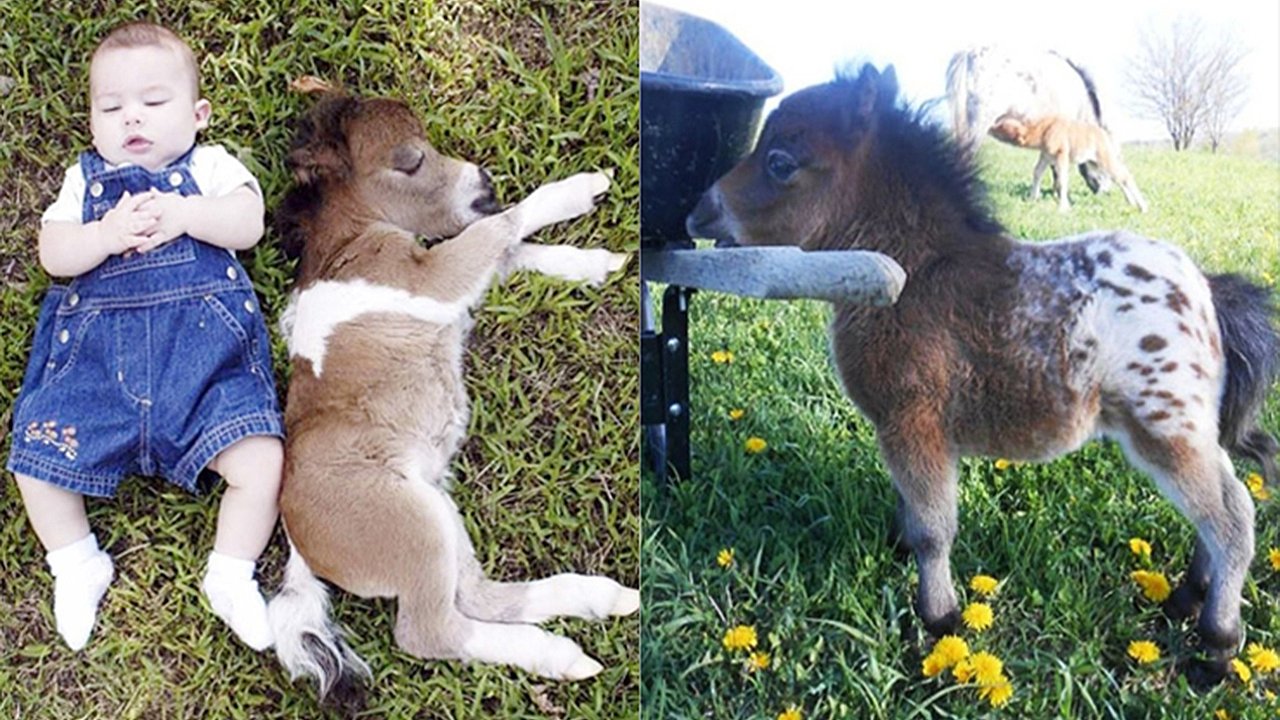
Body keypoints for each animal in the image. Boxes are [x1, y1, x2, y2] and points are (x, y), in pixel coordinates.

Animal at [686, 63, 1279, 685]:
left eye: (780, 162)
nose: (698, 212)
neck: (913, 274)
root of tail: (1206, 291)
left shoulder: (914, 420)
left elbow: (933, 527)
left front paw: (940, 619)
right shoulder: (905, 430)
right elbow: (913, 508)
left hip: (1166, 431)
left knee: (1232, 516)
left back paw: (1217, 646)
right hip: (1189, 433)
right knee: (1218, 509)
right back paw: (1187, 599)